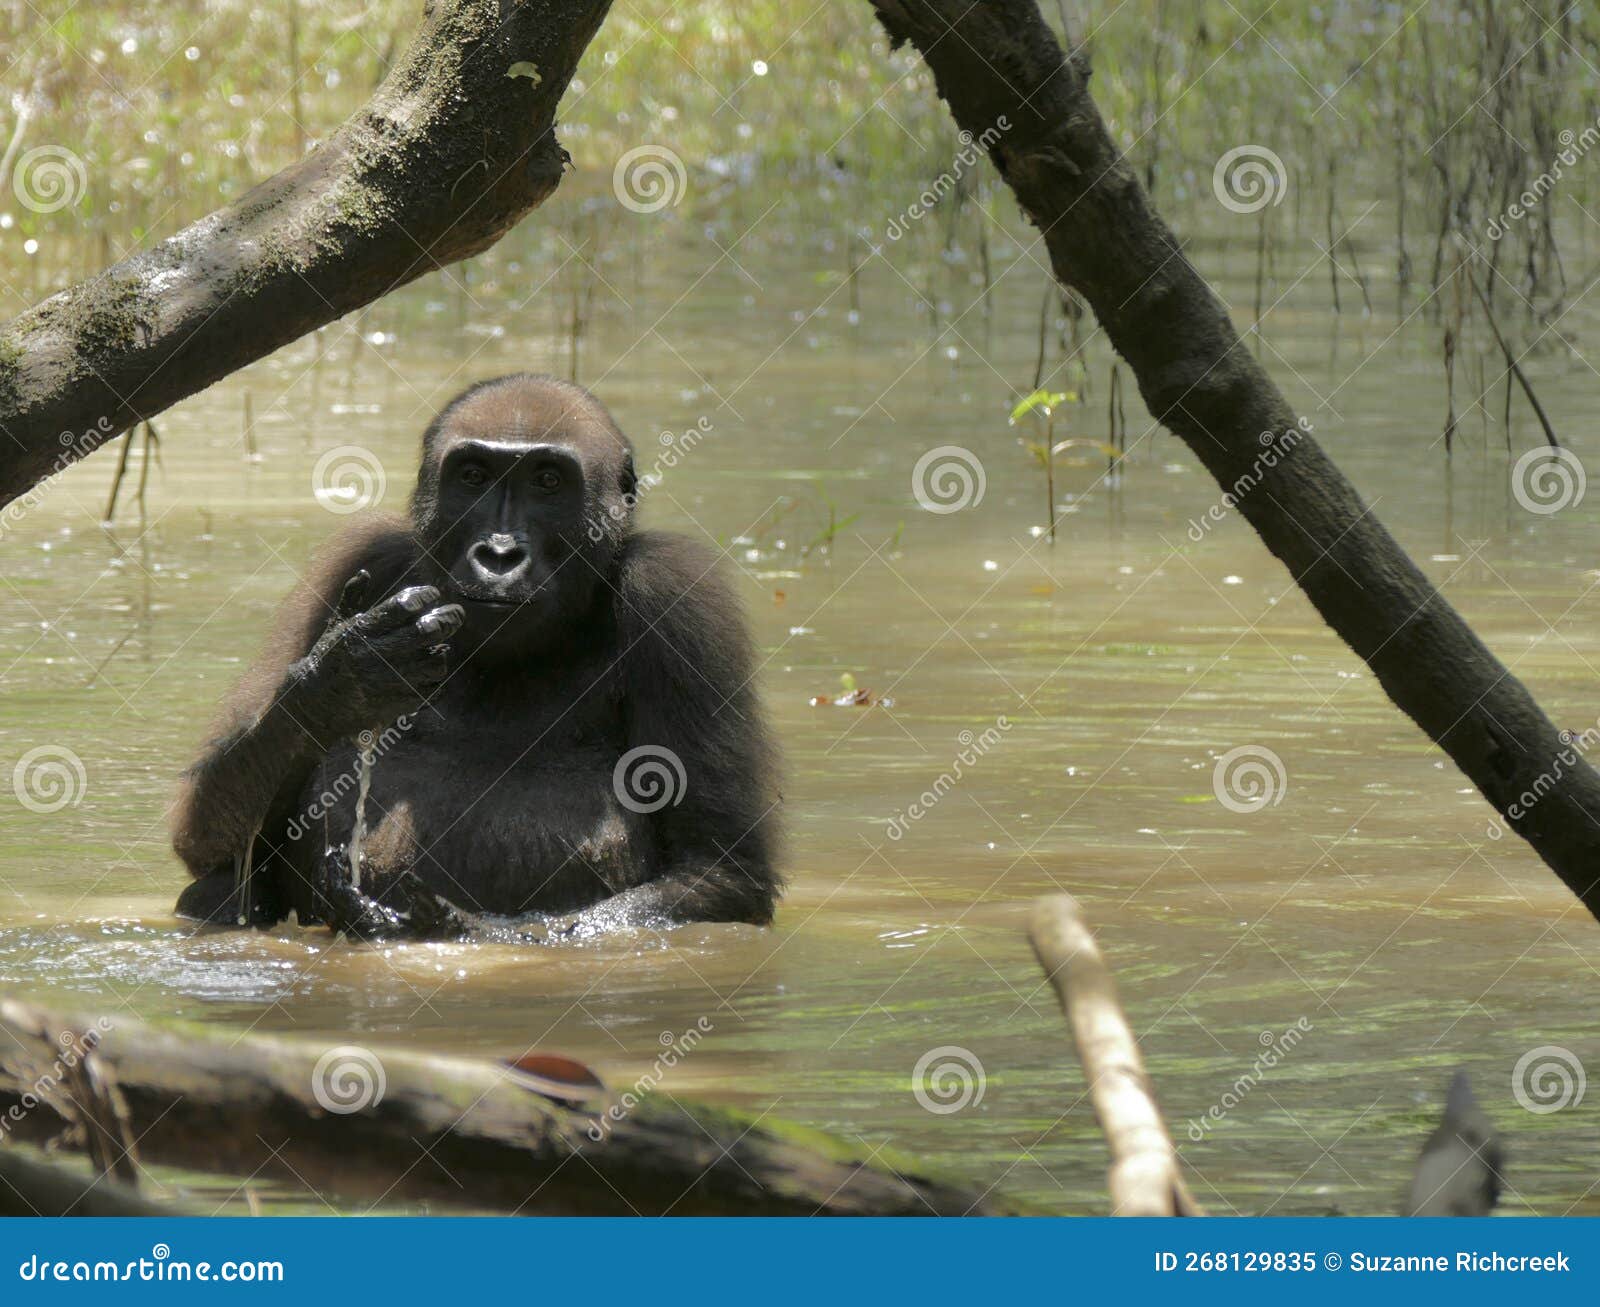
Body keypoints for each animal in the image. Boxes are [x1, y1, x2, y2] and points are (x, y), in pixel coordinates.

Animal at [169, 374, 781, 941]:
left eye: (548, 482)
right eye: (473, 477)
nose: (499, 554)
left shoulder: (677, 595)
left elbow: (718, 870)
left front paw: (447, 927)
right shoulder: (363, 555)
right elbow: (211, 835)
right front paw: (337, 681)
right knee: (218, 886)